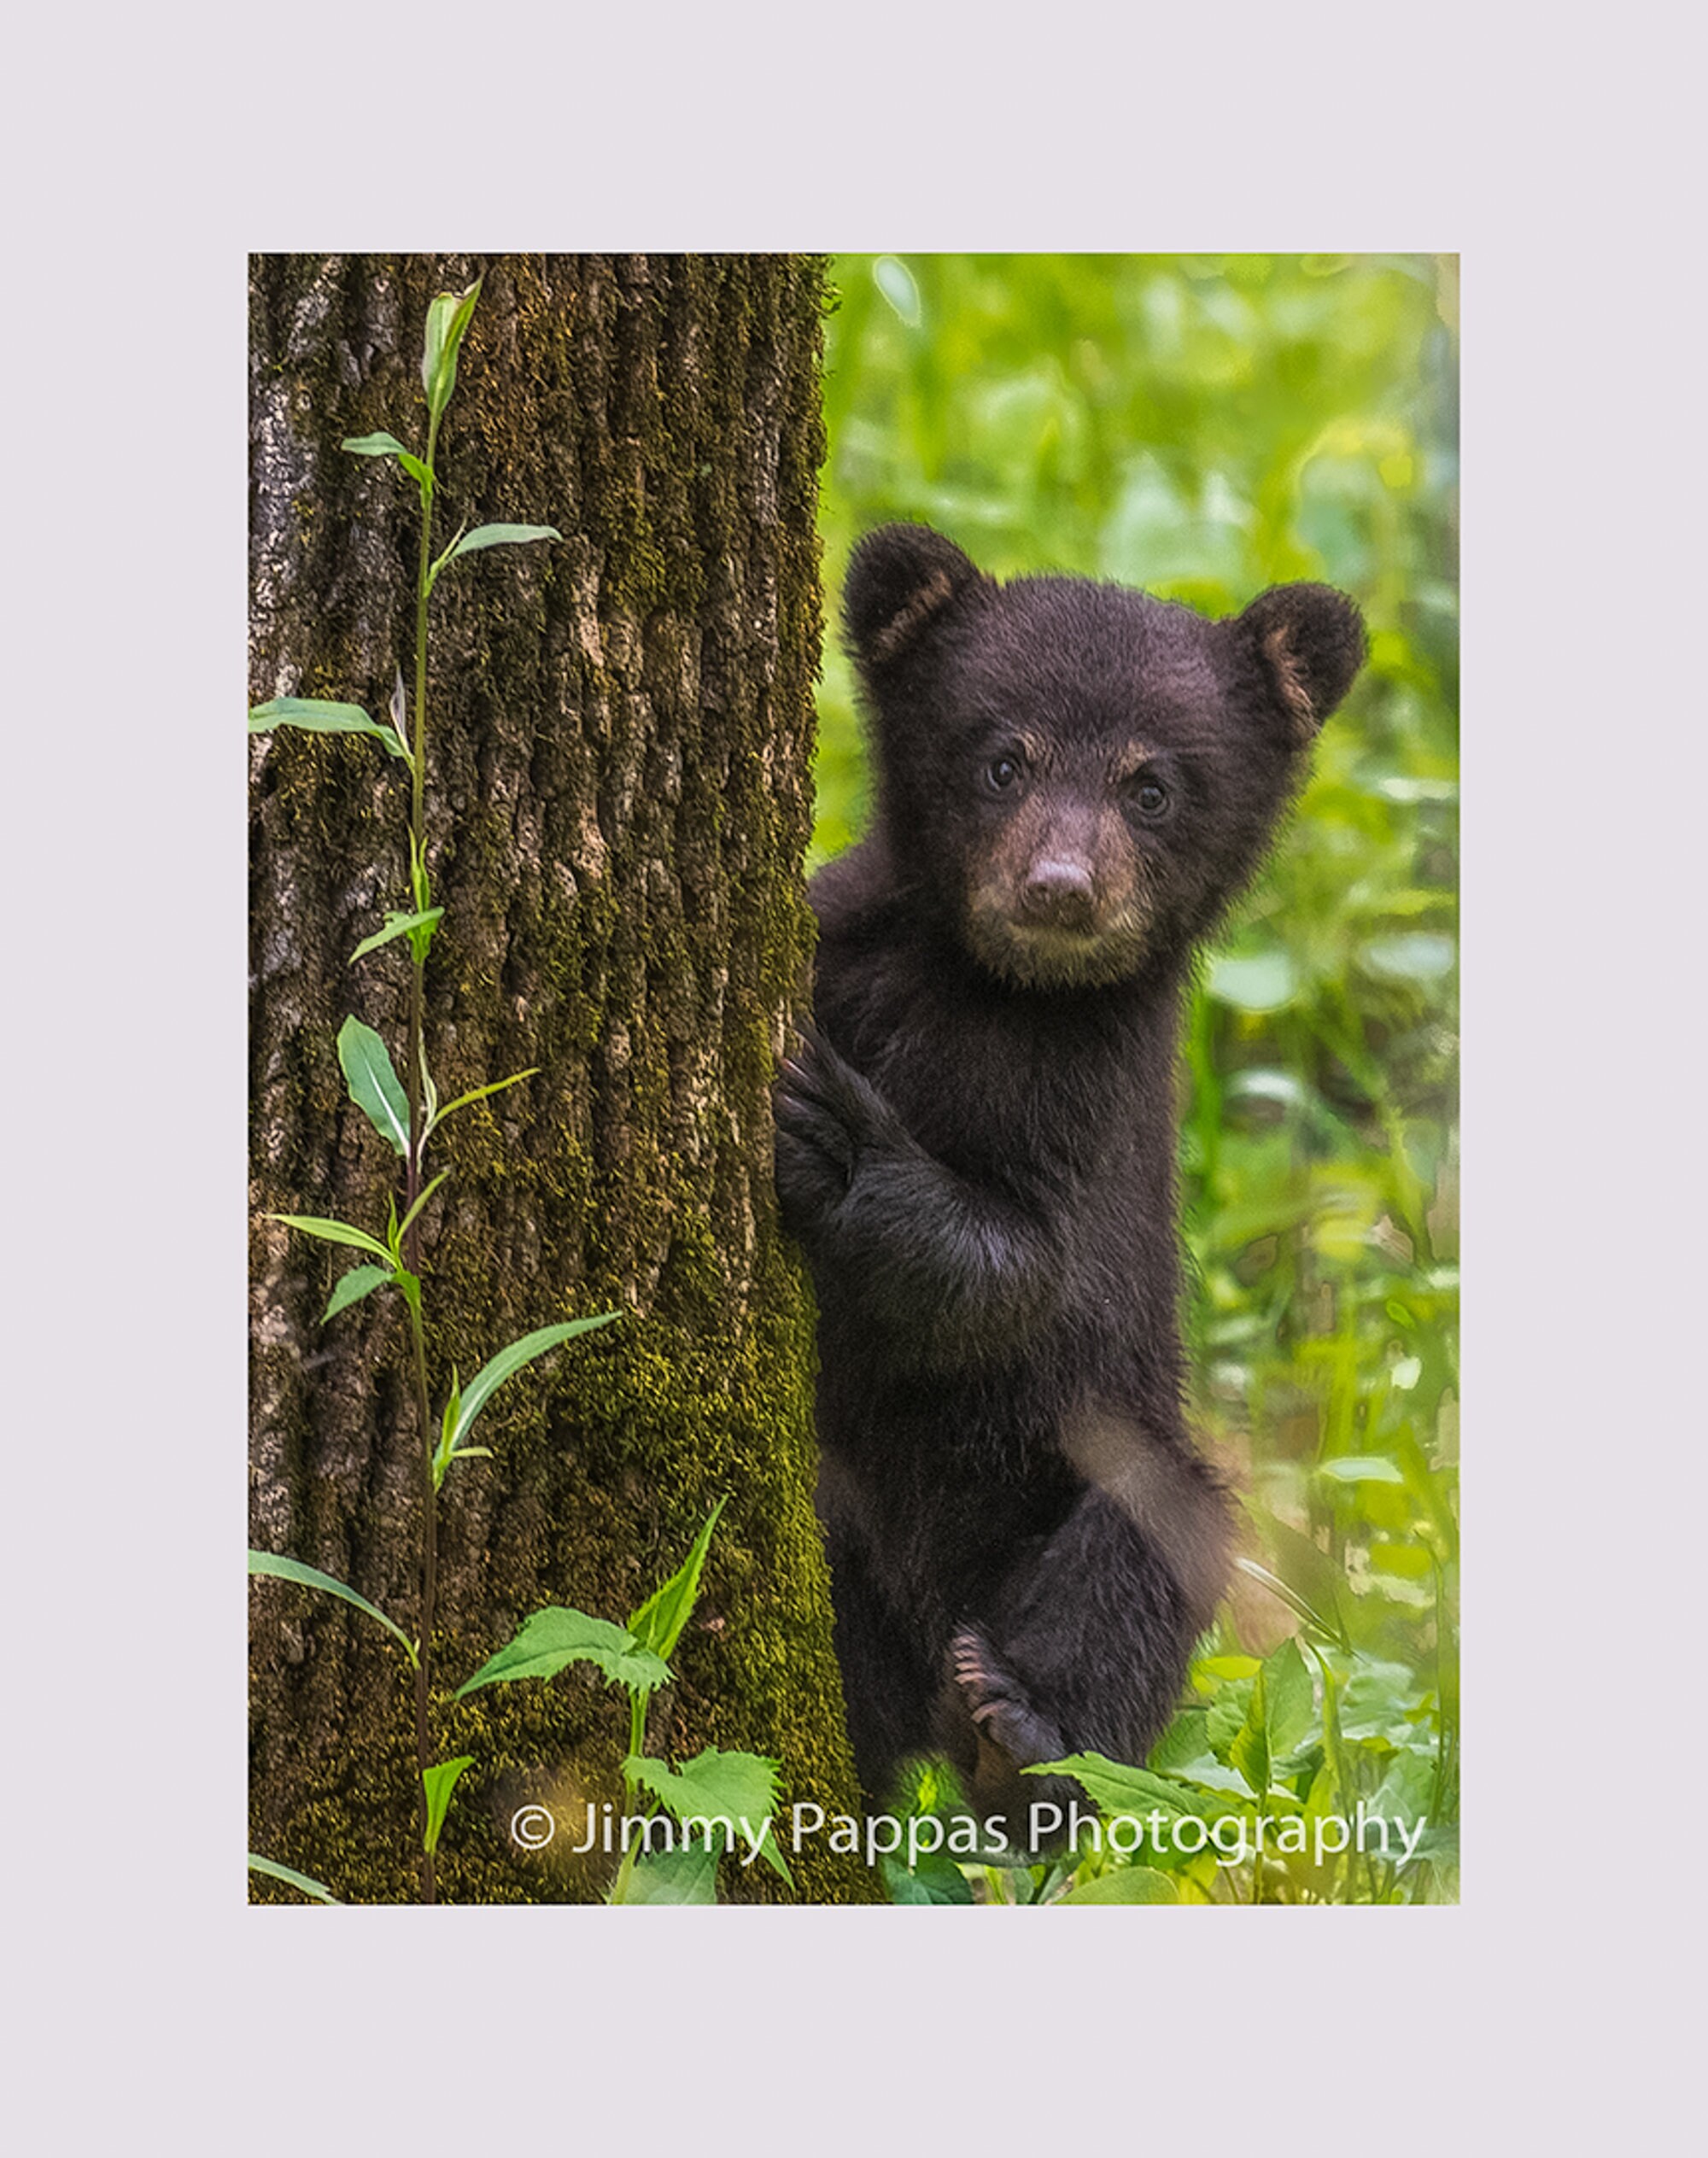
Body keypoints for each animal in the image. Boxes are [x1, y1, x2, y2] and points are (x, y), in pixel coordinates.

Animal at [774, 522, 1365, 1850]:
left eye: (1151, 785)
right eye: (1003, 759)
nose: (1058, 889)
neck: (989, 991)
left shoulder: (1093, 1092)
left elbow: (1022, 1269)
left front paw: (834, 1137)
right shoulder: (845, 948)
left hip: (1101, 1462)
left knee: (1154, 1537)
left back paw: (1021, 1740)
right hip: (839, 1523)